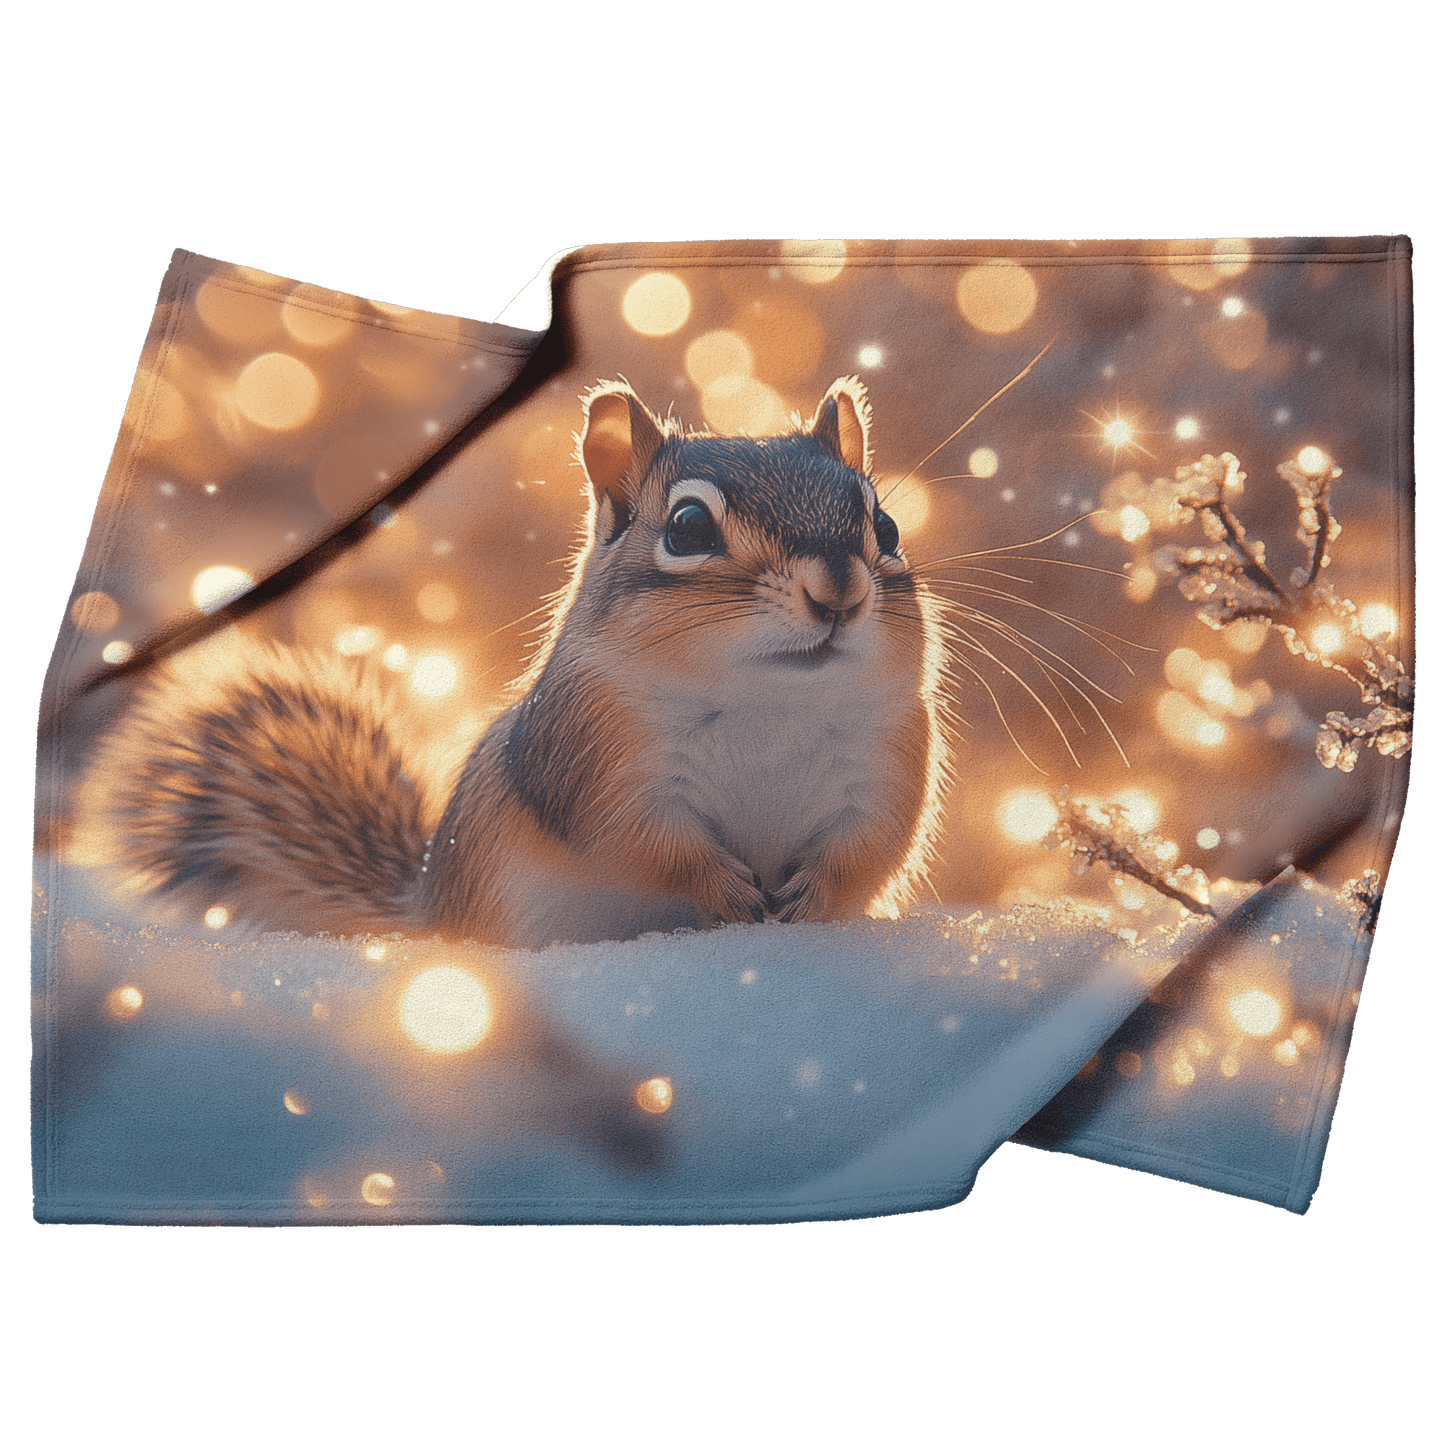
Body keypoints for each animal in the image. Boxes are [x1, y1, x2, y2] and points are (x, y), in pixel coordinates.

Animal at [94, 376, 952, 950]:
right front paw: (725, 889)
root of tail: (425, 914)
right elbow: (645, 845)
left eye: (885, 526)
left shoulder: (887, 766)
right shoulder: (594, 763)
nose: (838, 591)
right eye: (686, 527)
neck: (772, 701)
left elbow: (870, 845)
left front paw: (810, 897)